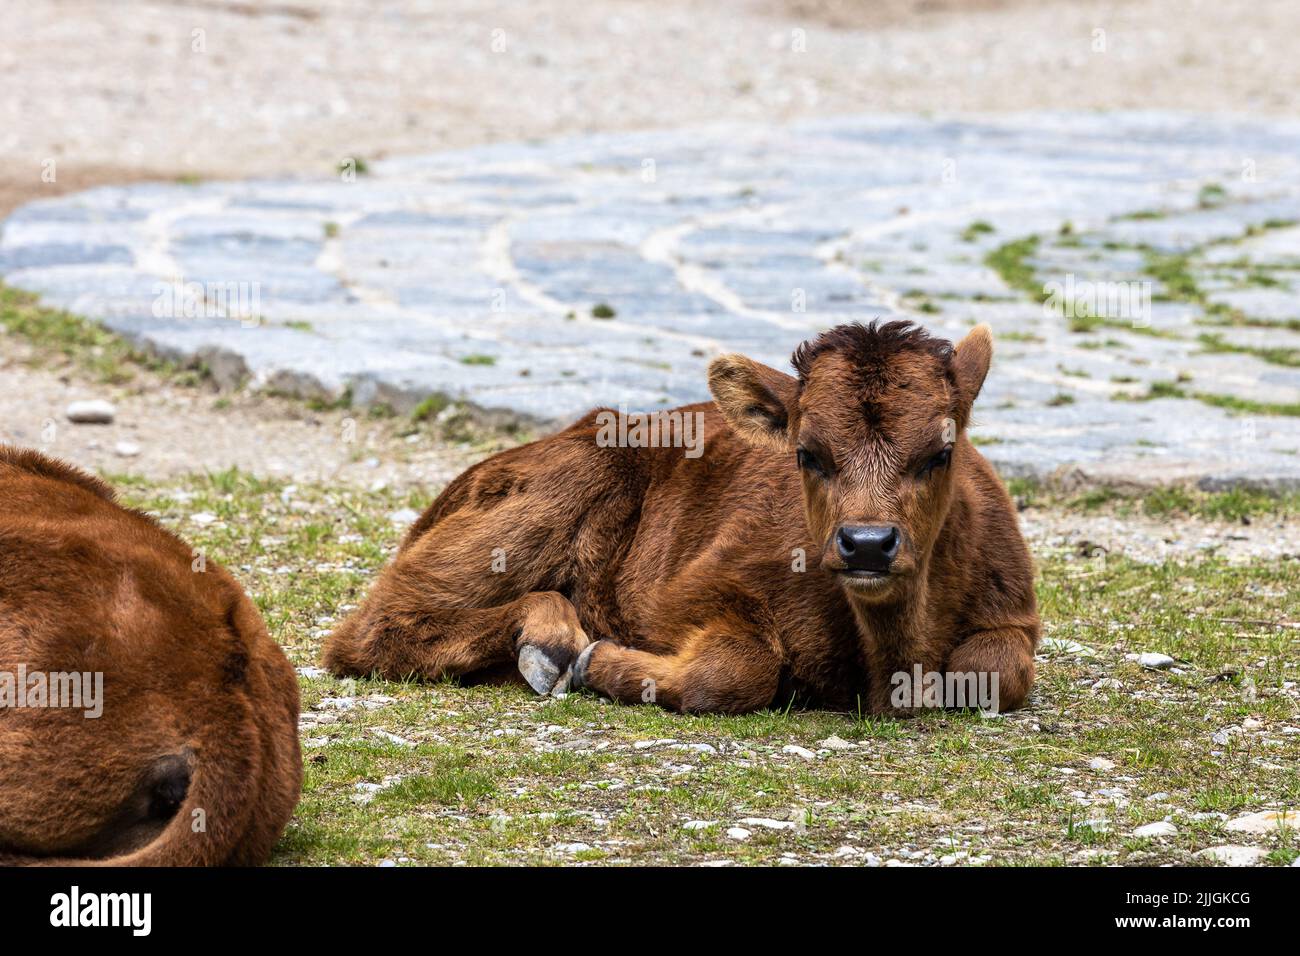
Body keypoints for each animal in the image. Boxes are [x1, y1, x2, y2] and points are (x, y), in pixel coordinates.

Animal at [324, 321, 1040, 716]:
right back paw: (551, 646)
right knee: (371, 625)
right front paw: (599, 663)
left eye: (941, 451)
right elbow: (736, 671)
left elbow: (996, 673)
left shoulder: (1014, 619)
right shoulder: (693, 595)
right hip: (547, 497)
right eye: (807, 453)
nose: (867, 544)